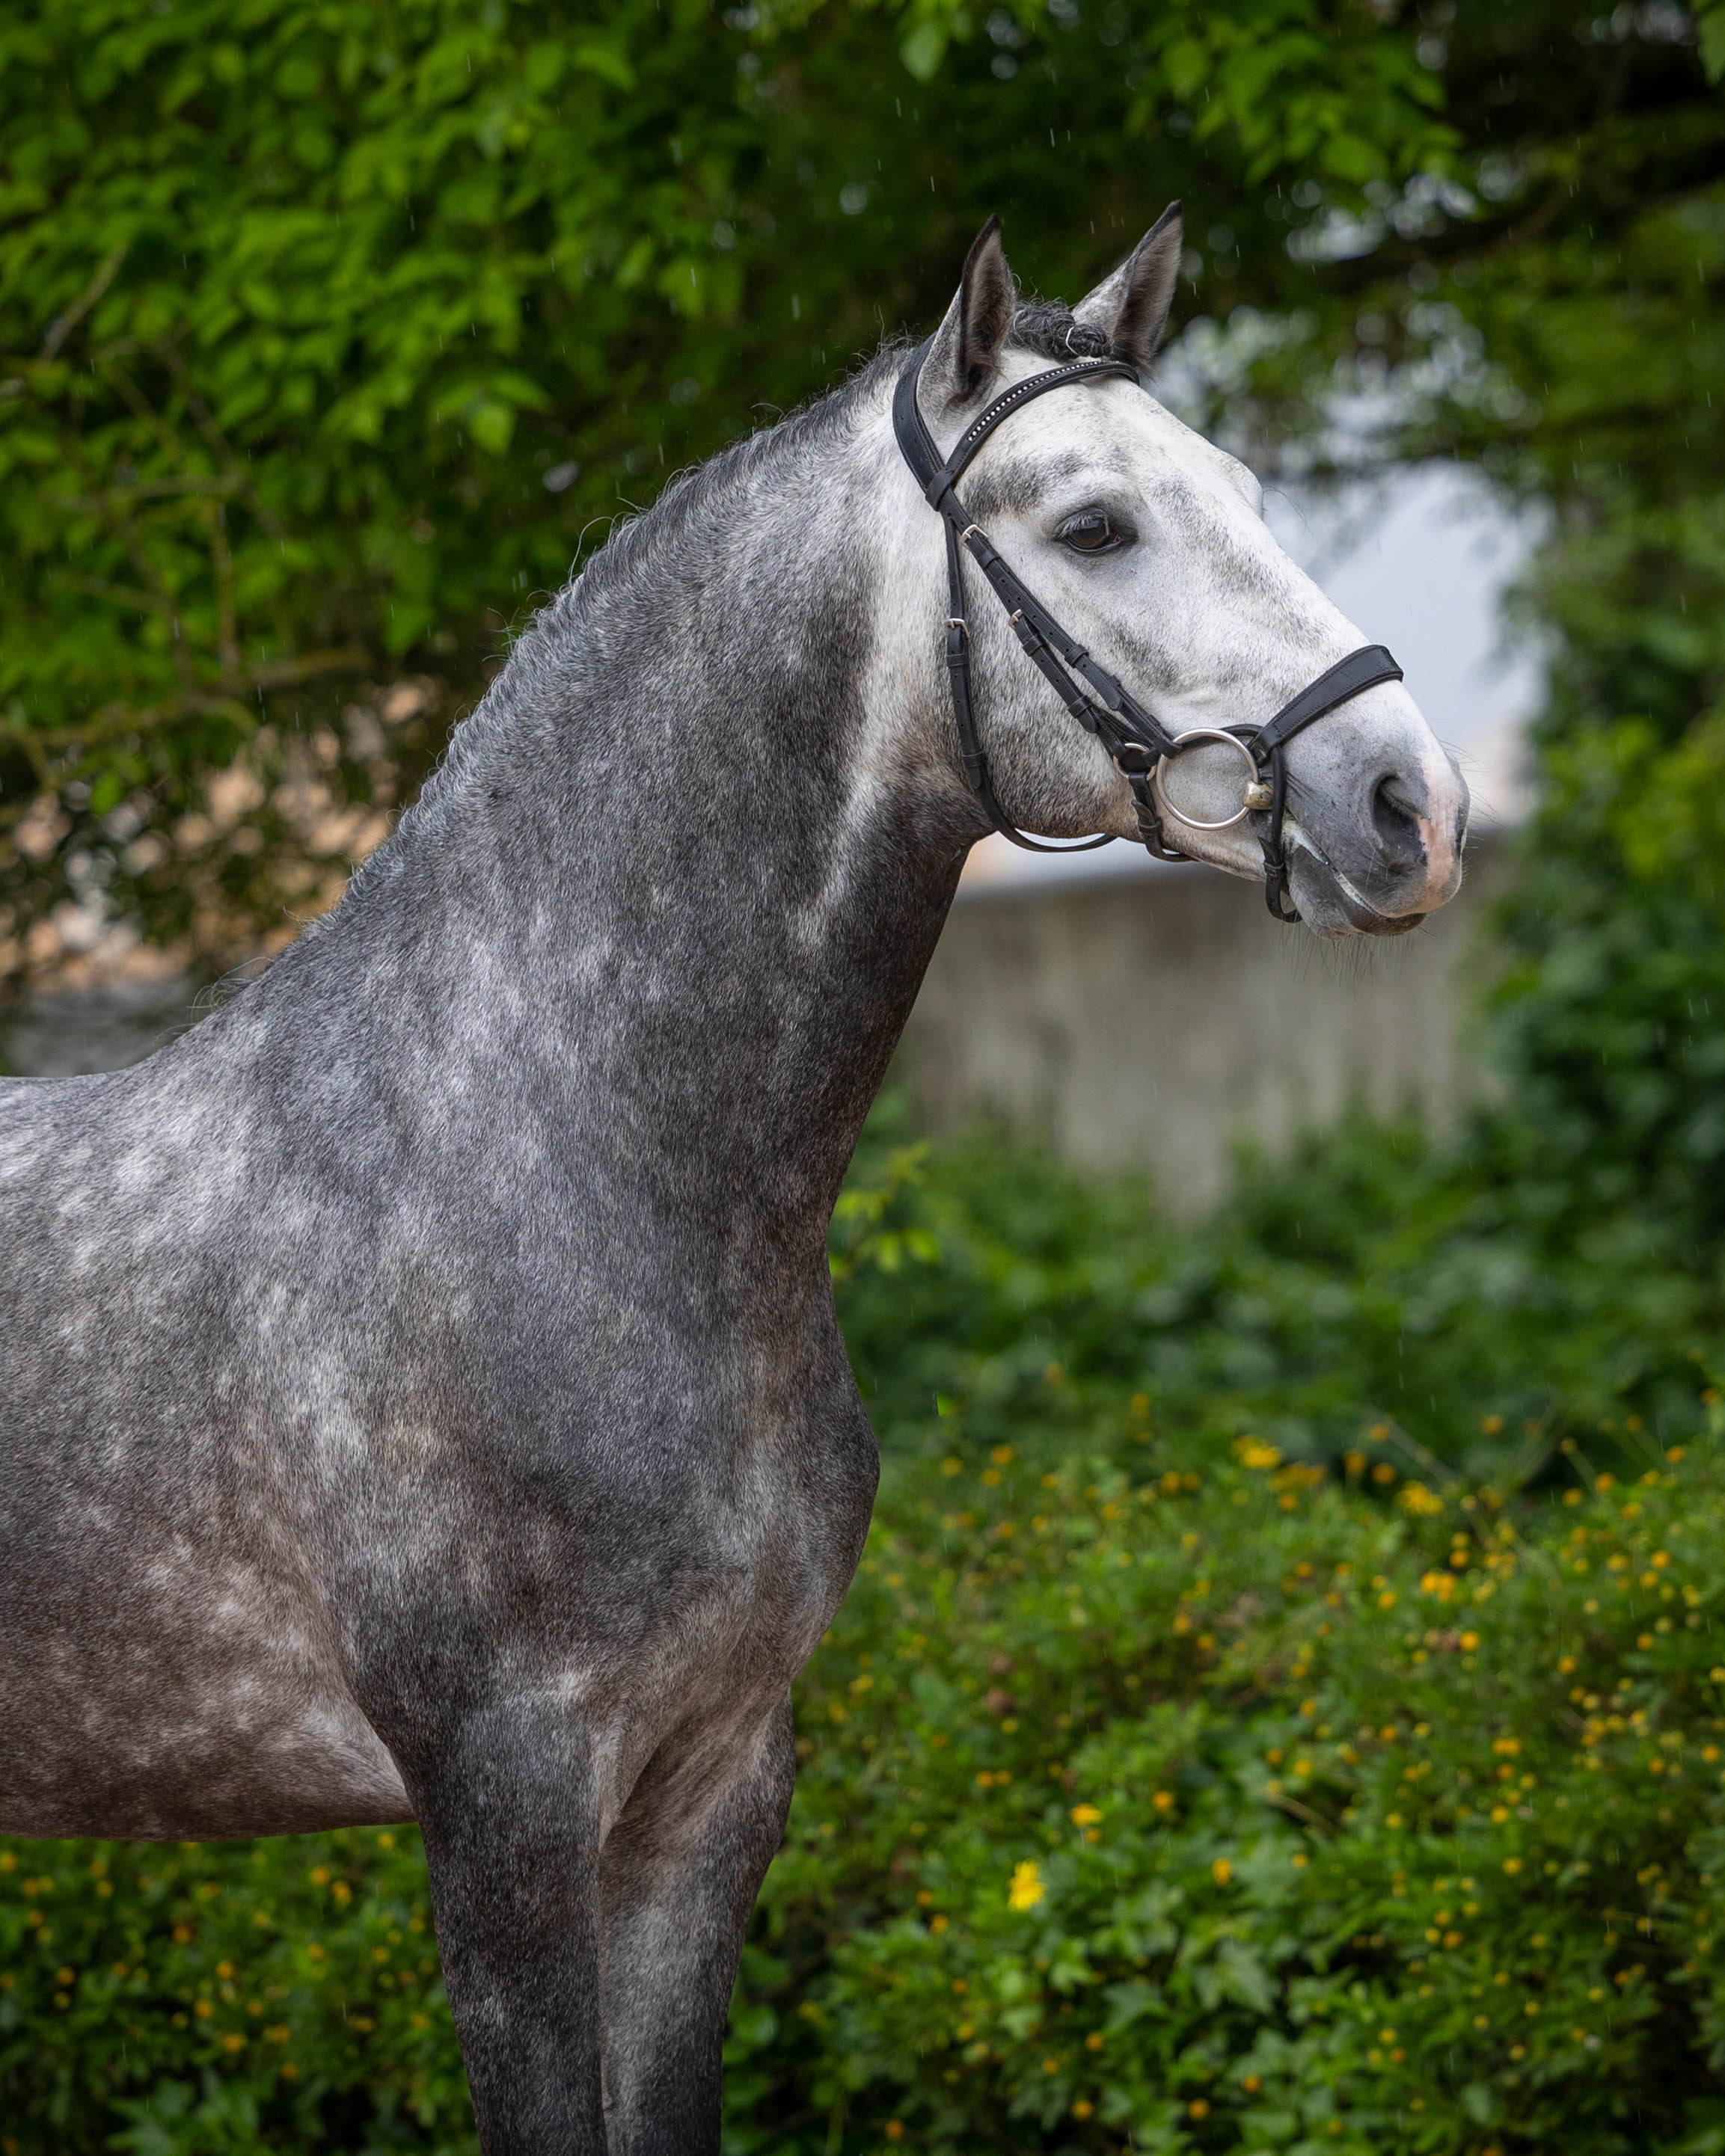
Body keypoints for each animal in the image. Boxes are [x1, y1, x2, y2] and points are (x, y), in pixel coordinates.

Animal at [0, 212, 1467, 2153]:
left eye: (1238, 484)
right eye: (1094, 525)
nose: (1409, 803)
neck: (552, 1161)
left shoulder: (712, 1790)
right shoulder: (507, 1809)